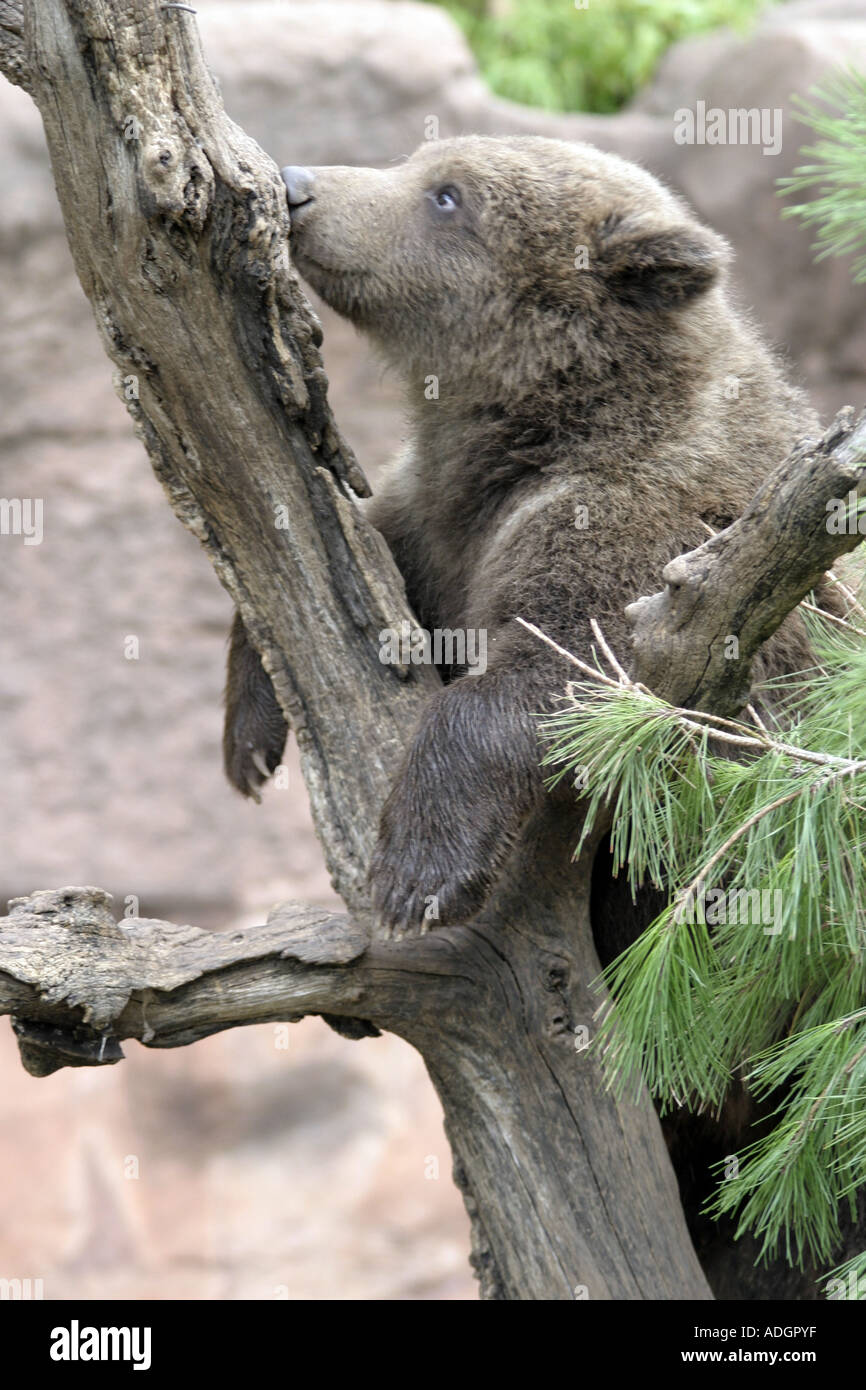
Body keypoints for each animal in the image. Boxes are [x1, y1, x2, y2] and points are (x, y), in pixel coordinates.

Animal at [224, 134, 820, 937]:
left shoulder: (648, 526)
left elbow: (563, 661)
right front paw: (250, 735)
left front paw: (417, 874)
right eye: (420, 162)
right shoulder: (436, 521)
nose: (297, 184)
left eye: (449, 196)